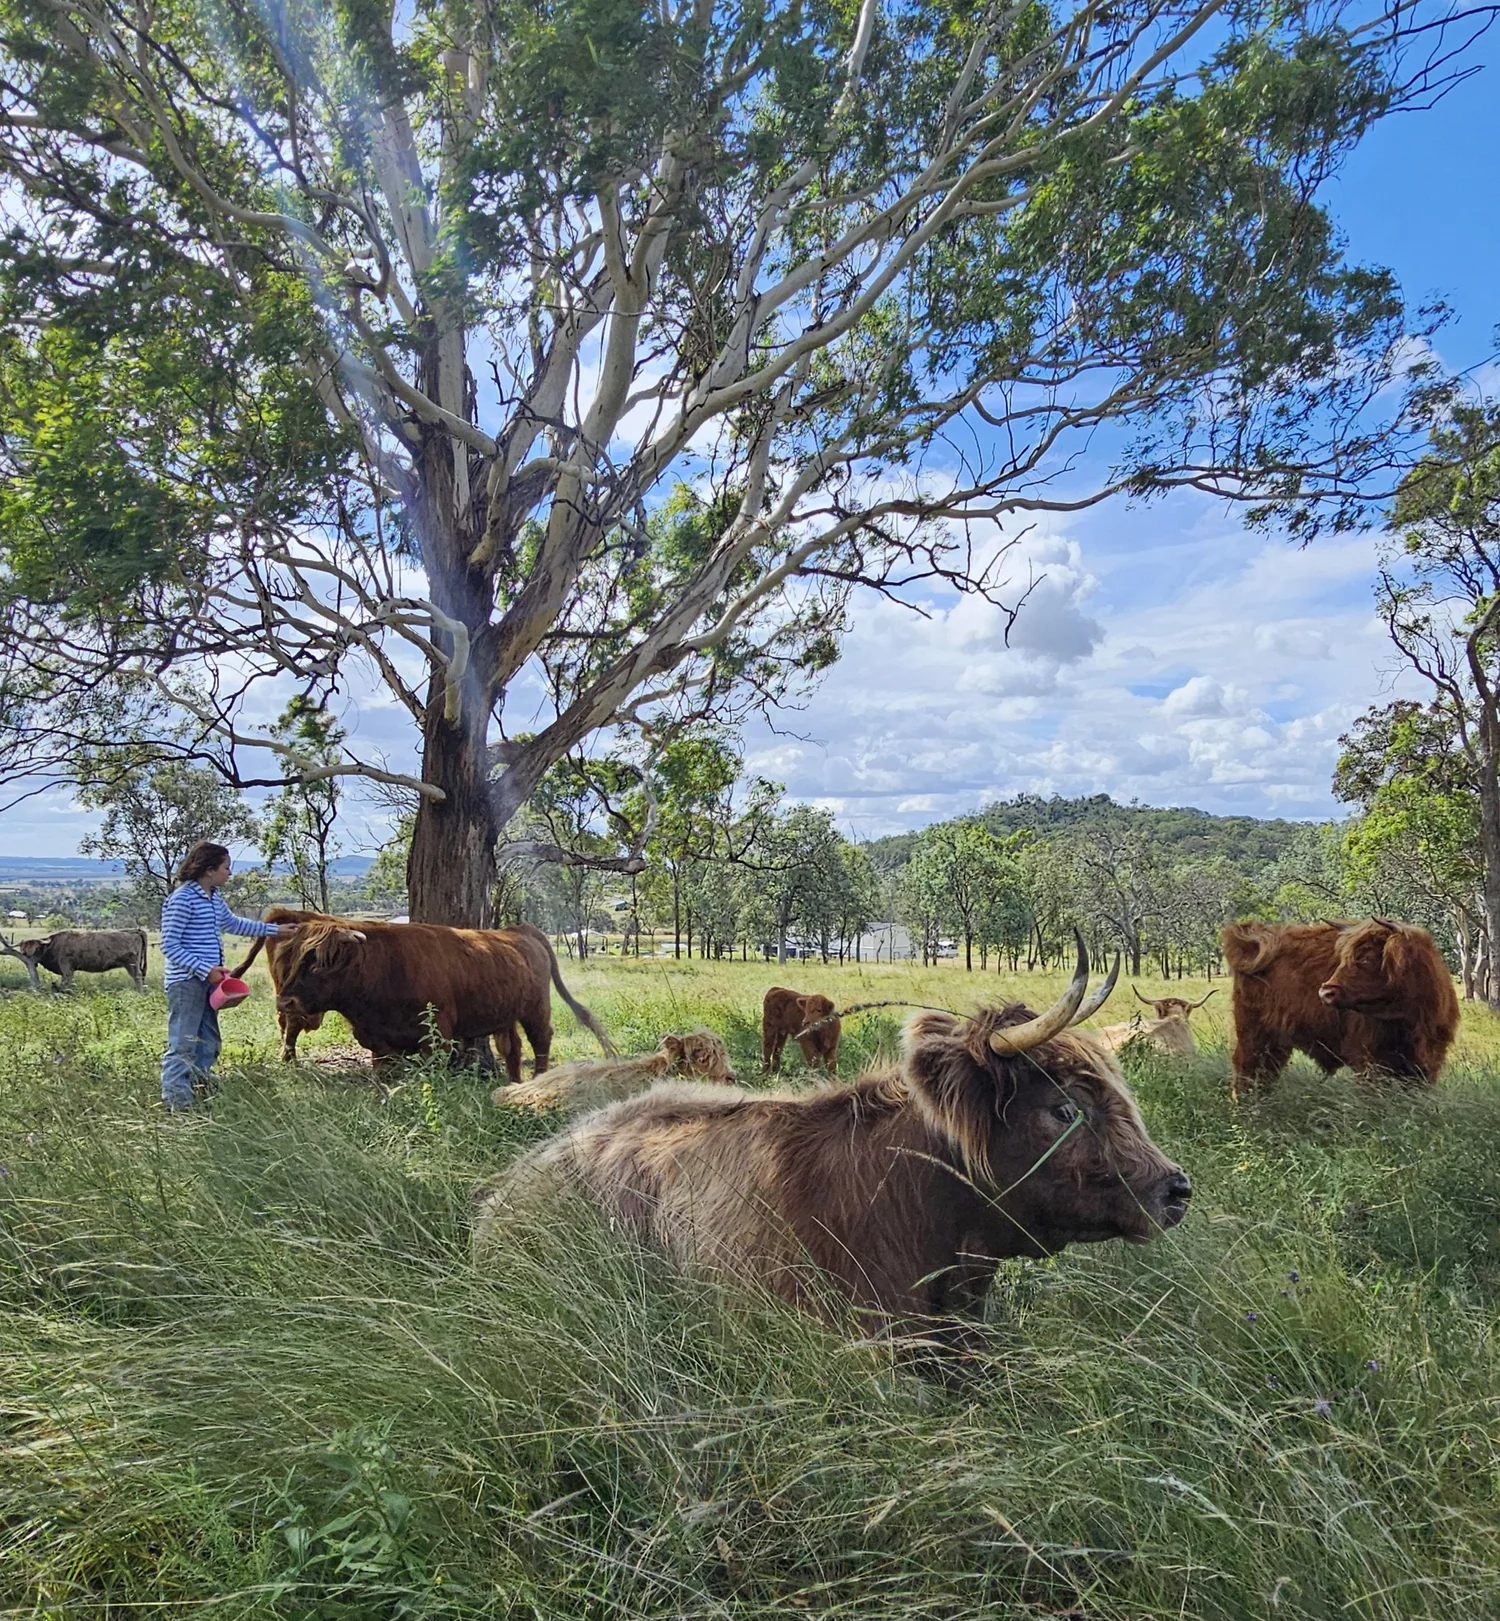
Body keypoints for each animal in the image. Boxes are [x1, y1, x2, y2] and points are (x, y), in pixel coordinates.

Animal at [0, 928, 147, 992]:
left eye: (36, 948)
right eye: (23, 948)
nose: (26, 954)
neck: (55, 945)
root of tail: (135, 931)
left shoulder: (67, 968)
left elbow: (66, 983)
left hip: (132, 964)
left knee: (138, 977)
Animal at [269, 917, 615, 1078]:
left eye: (318, 964)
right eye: (292, 960)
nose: (285, 1002)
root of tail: (520, 930)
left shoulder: (436, 1038)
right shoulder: (379, 1045)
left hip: (536, 1009)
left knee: (541, 1041)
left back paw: (536, 1081)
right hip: (505, 1012)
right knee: (512, 1048)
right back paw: (513, 1083)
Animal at [1221, 917, 1459, 1099]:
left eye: (1367, 959)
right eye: (1344, 959)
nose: (1326, 992)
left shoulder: (1428, 1063)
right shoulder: (1369, 1061)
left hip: (1275, 1043)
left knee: (1265, 1074)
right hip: (1253, 1034)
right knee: (1245, 1072)